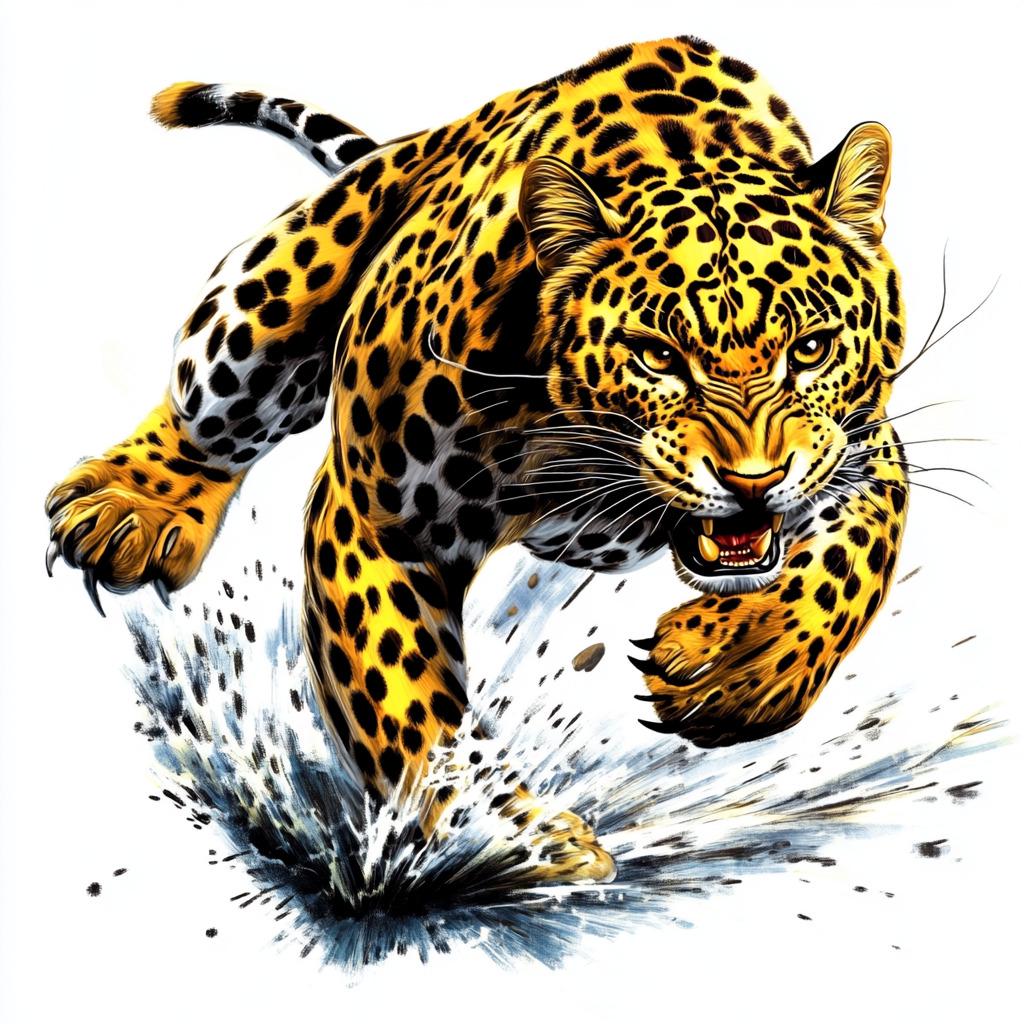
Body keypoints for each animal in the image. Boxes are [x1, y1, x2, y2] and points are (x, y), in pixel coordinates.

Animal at [44, 34, 909, 884]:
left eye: (812, 348)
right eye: (657, 356)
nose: (752, 482)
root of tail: (425, 140)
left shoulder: (865, 448)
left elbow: (854, 561)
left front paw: (736, 664)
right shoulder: (379, 517)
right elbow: (410, 705)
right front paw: (506, 842)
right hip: (264, 308)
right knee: (210, 416)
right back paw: (130, 509)